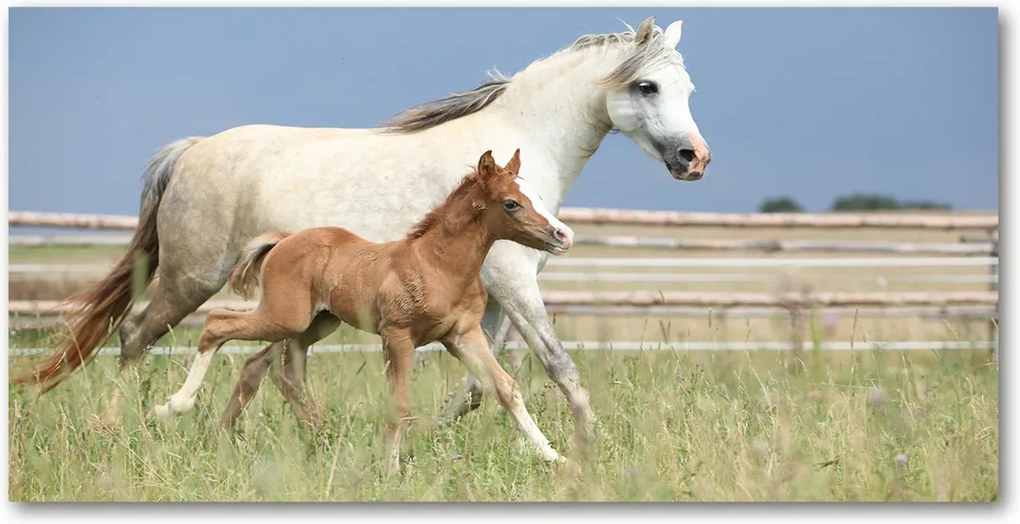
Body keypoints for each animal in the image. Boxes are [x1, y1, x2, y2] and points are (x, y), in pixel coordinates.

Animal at [156, 148, 579, 466]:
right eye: (511, 203)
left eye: (539, 198)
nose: (564, 235)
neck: (437, 264)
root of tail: (284, 240)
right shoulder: (397, 335)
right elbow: (401, 403)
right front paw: (391, 470)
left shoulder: (462, 335)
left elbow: (506, 388)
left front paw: (555, 457)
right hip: (284, 316)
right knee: (217, 323)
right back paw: (175, 405)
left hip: (316, 324)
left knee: (278, 368)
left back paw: (309, 438)